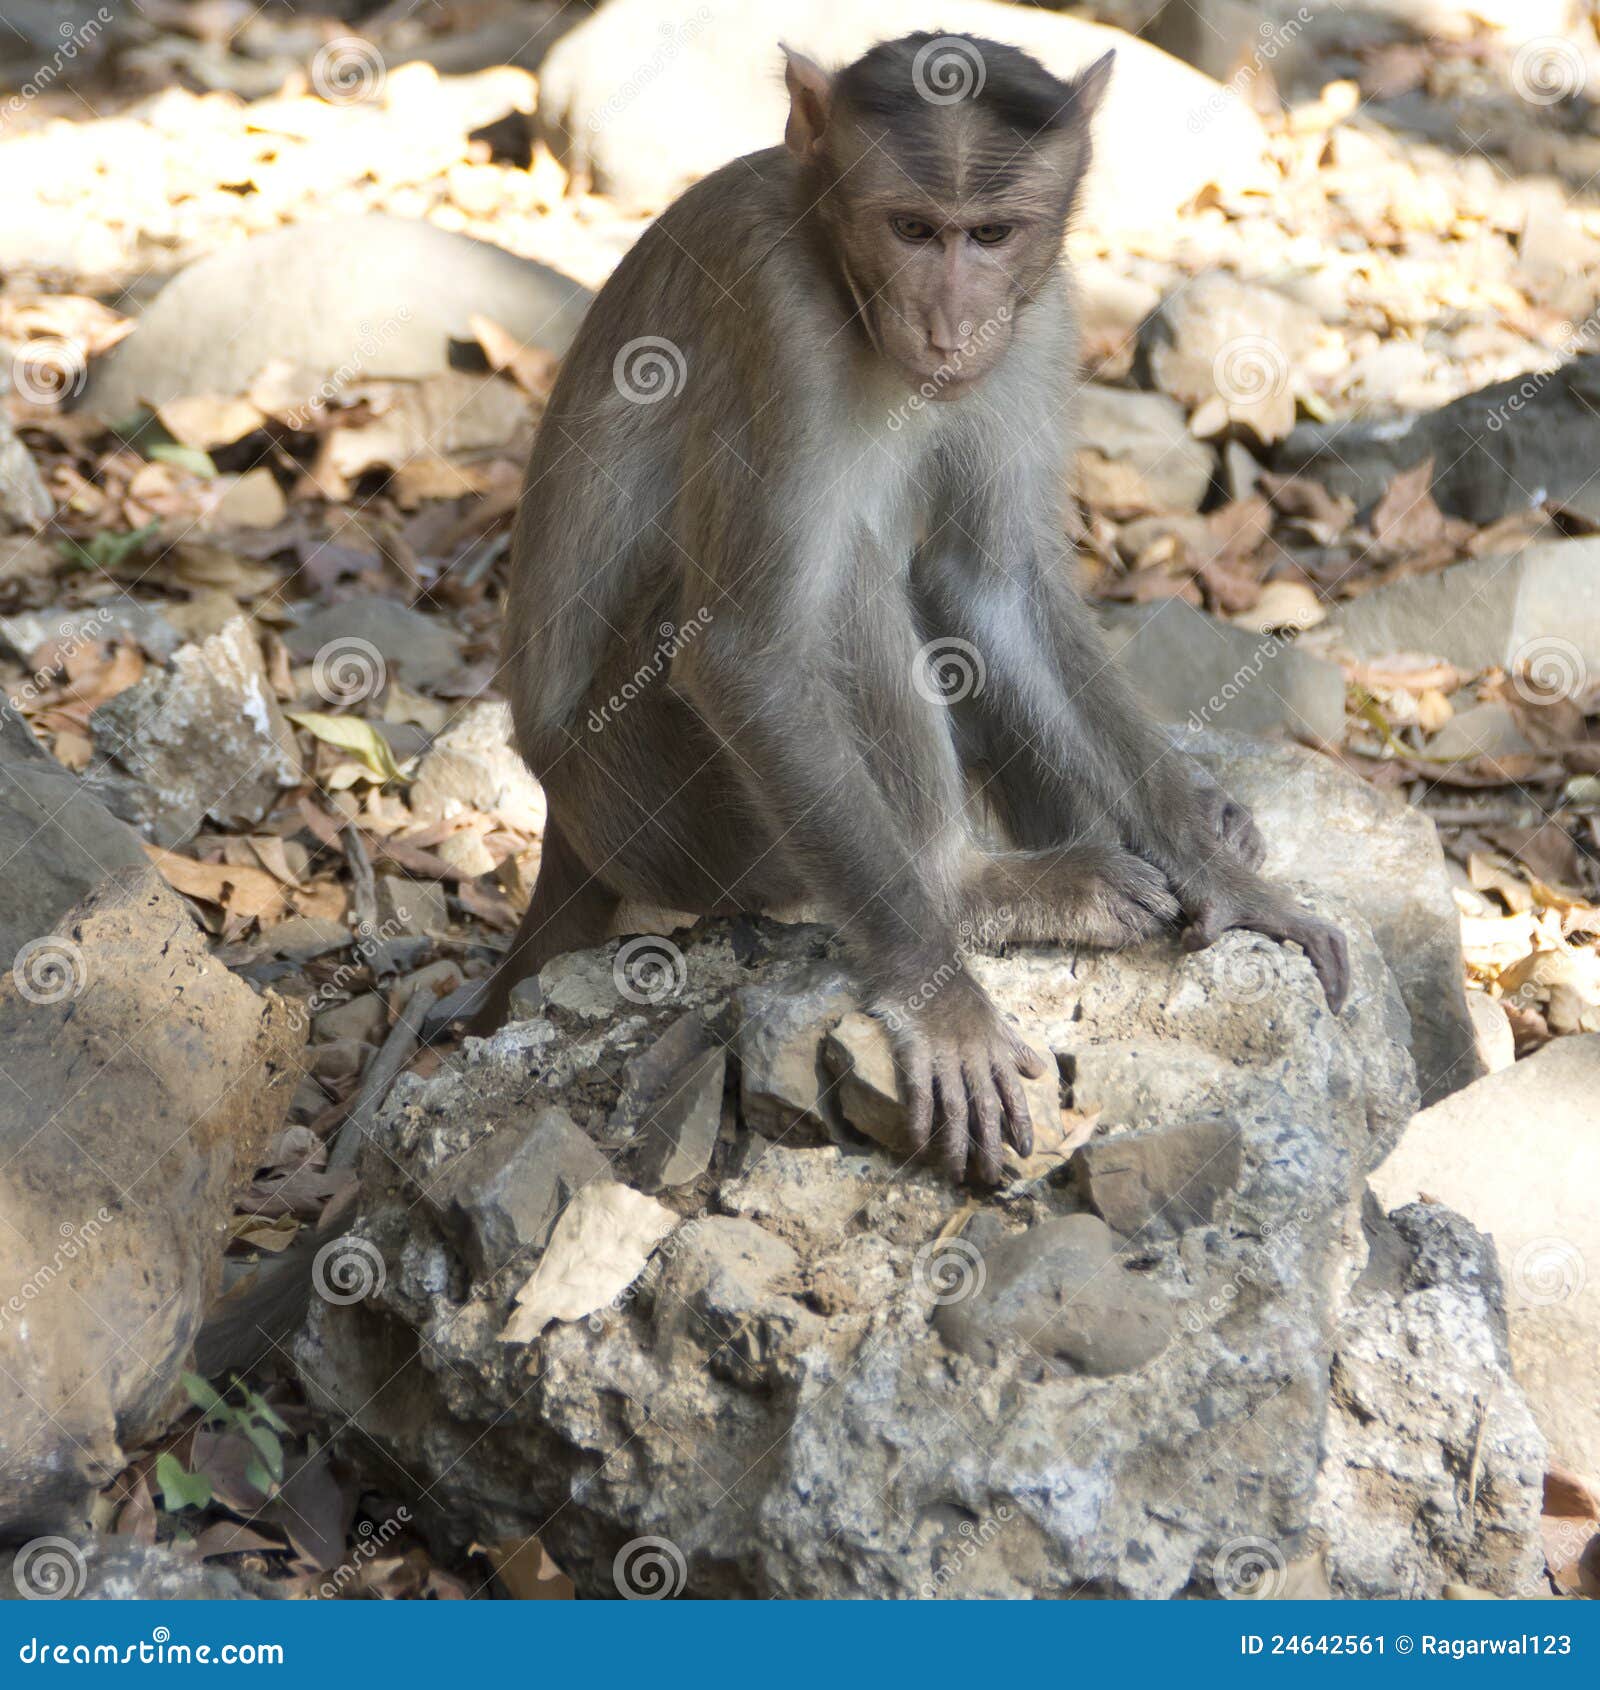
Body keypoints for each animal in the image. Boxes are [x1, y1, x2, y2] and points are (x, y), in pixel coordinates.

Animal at [475, 32, 1348, 1186]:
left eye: (992, 234)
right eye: (912, 229)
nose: (949, 321)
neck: (837, 264)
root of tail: (560, 814)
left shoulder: (1041, 319)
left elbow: (999, 588)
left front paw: (1214, 865)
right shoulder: (781, 319)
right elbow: (750, 654)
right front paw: (941, 999)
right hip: (661, 806)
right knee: (843, 574)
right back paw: (968, 885)